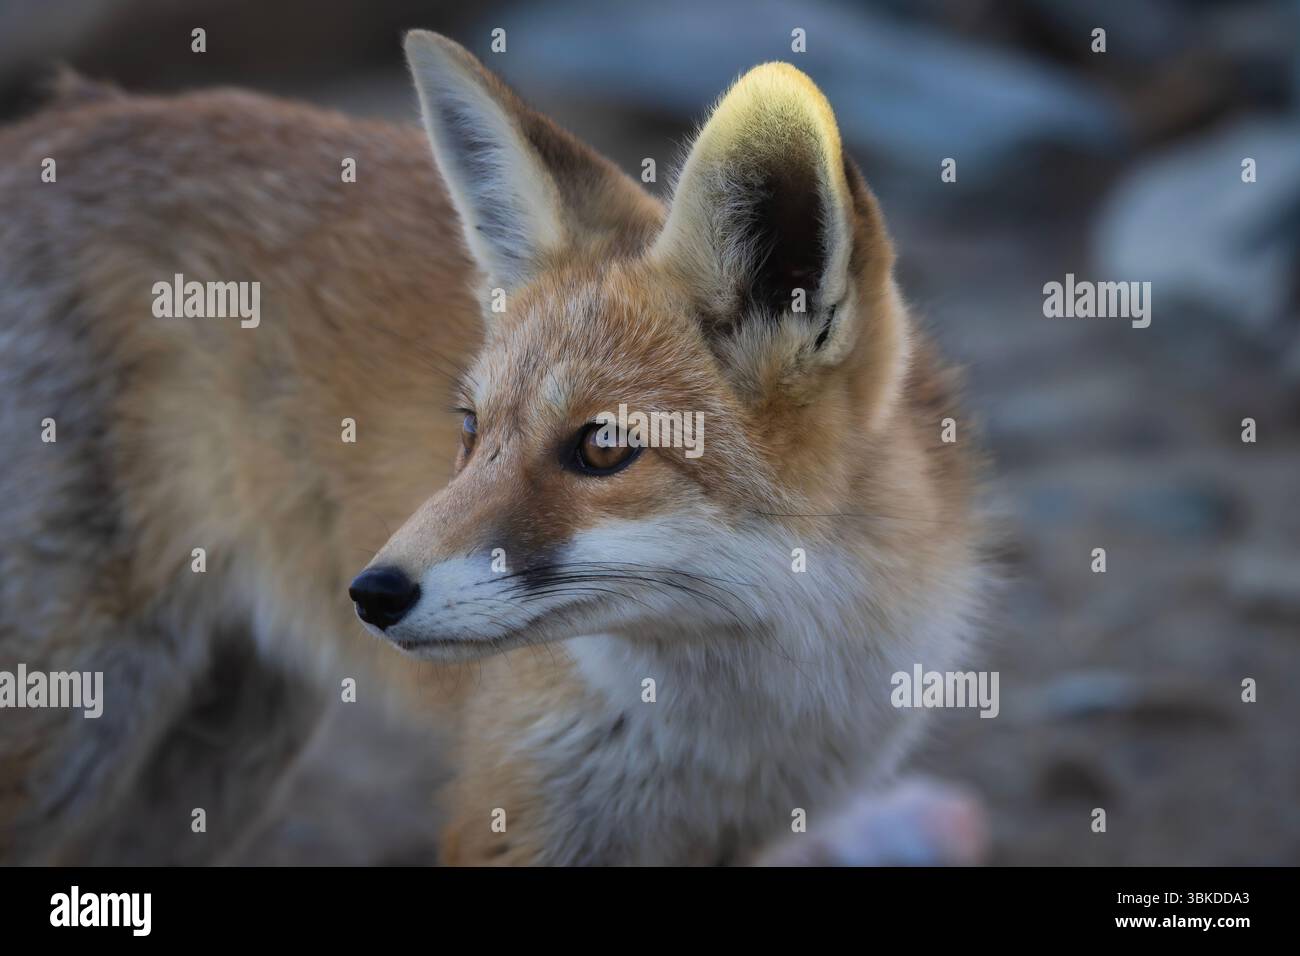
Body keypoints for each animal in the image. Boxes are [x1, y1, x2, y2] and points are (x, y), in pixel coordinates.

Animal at [0, 31, 985, 865]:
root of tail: (63, 116)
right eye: (471, 430)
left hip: (218, 763)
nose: (372, 593)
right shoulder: (518, 814)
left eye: (603, 449)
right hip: (77, 727)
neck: (738, 721)